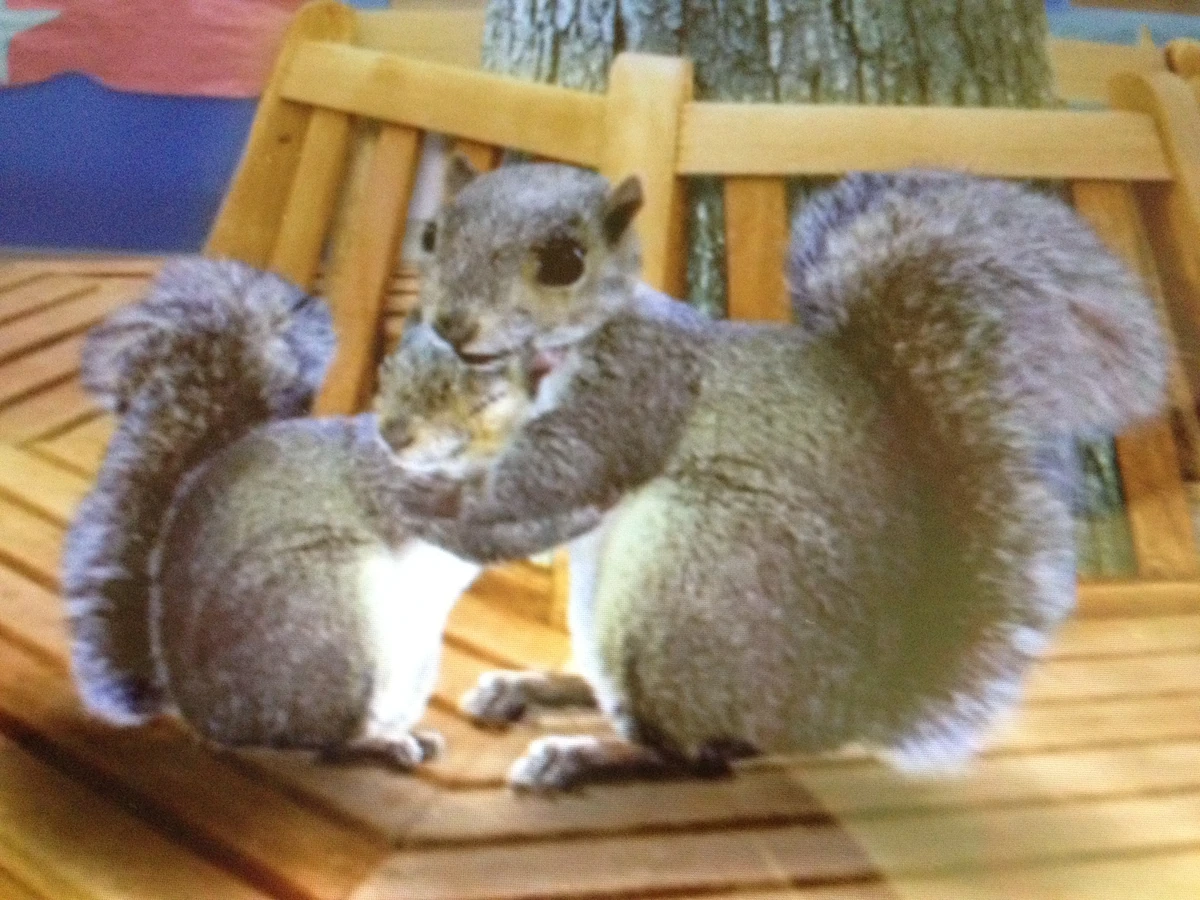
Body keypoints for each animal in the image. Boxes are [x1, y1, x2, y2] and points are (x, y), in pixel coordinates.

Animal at [64, 258, 599, 766]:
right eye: (390, 378)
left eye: (490, 397)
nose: (399, 435)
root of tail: (200, 712)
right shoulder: (412, 495)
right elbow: (497, 529)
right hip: (320, 606)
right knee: (316, 739)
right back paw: (376, 744)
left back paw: (407, 737)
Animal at [404, 161, 1169, 789]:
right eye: (433, 233)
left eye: (565, 262)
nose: (450, 325)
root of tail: (850, 704)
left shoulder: (640, 388)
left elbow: (558, 471)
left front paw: (423, 494)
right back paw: (533, 691)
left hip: (693, 574)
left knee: (697, 754)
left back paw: (582, 754)